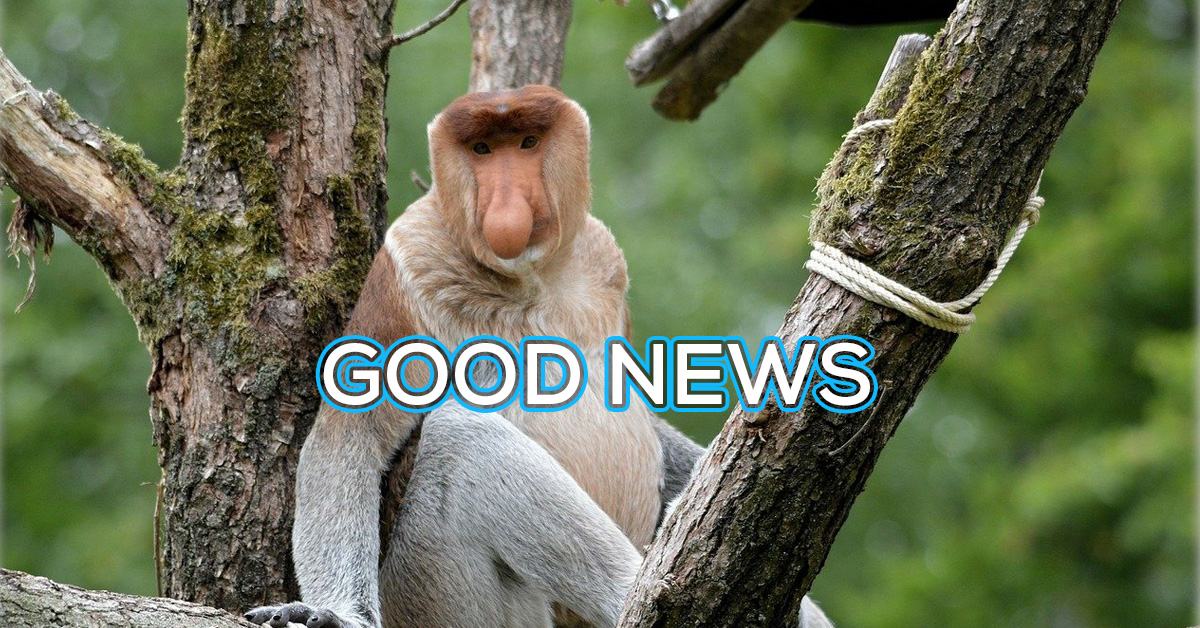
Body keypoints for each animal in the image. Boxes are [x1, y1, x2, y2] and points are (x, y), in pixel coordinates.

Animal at [246, 86, 833, 628]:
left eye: (528, 143)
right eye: (483, 149)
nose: (507, 205)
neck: (530, 279)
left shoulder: (604, 258)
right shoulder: (407, 268)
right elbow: (351, 437)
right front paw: (337, 614)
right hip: (442, 596)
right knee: (460, 439)